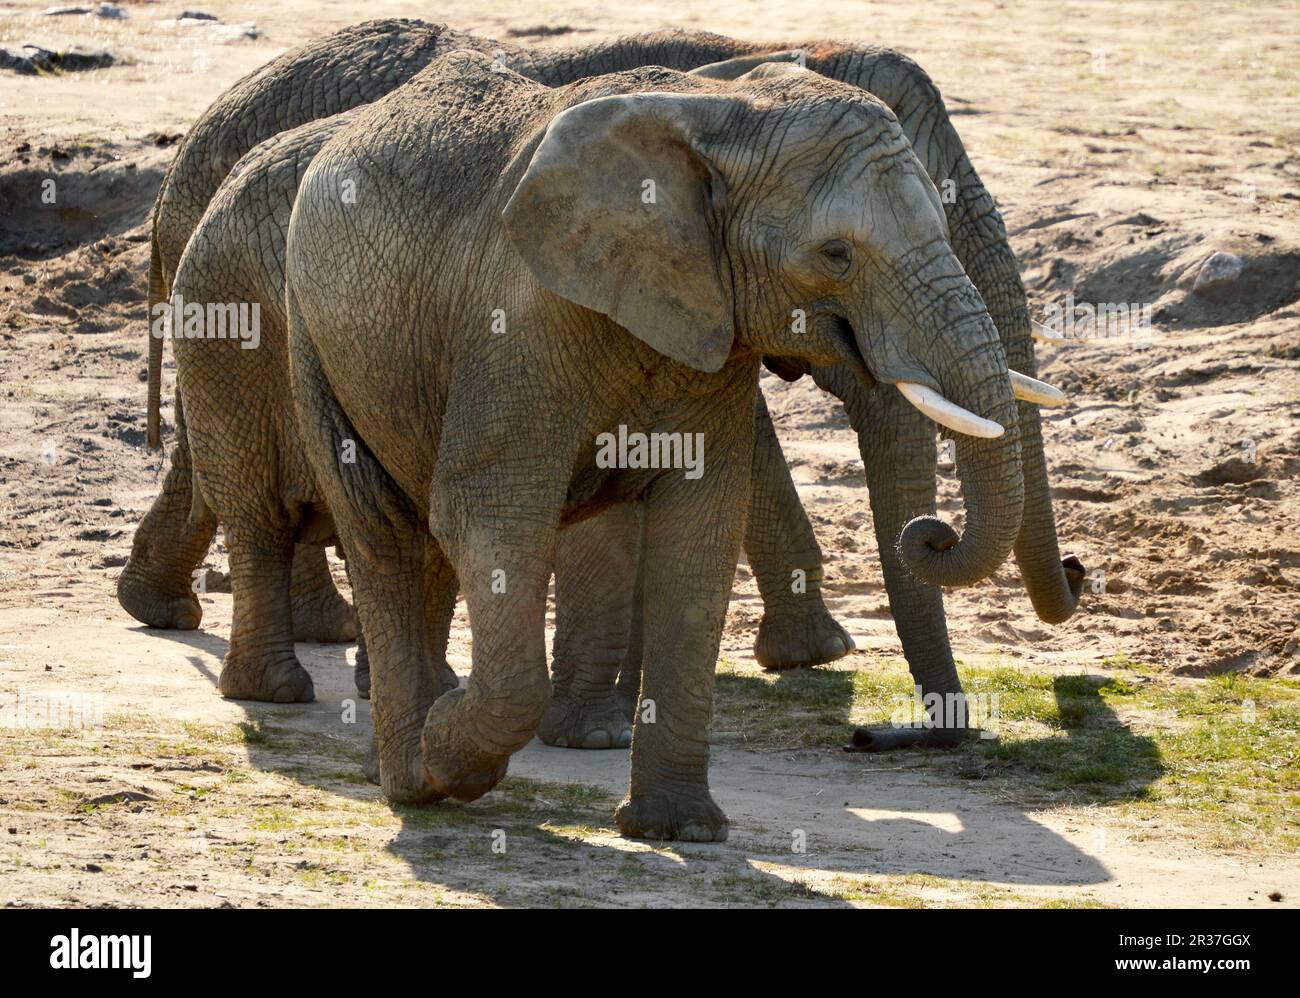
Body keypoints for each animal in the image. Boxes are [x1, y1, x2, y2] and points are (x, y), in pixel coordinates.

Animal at [121, 19, 1085, 744]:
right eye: (837, 257)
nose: (1077, 572)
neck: (748, 67)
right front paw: (810, 655)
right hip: (237, 291)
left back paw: (221, 617)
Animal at [282, 51, 1027, 840]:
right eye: (835, 255)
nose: (934, 533)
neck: (721, 116)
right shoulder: (517, 322)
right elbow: (489, 513)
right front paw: (449, 751)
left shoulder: (714, 327)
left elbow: (700, 532)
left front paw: (678, 831)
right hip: (312, 334)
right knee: (385, 527)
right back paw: (412, 780)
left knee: (423, 543)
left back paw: (406, 760)